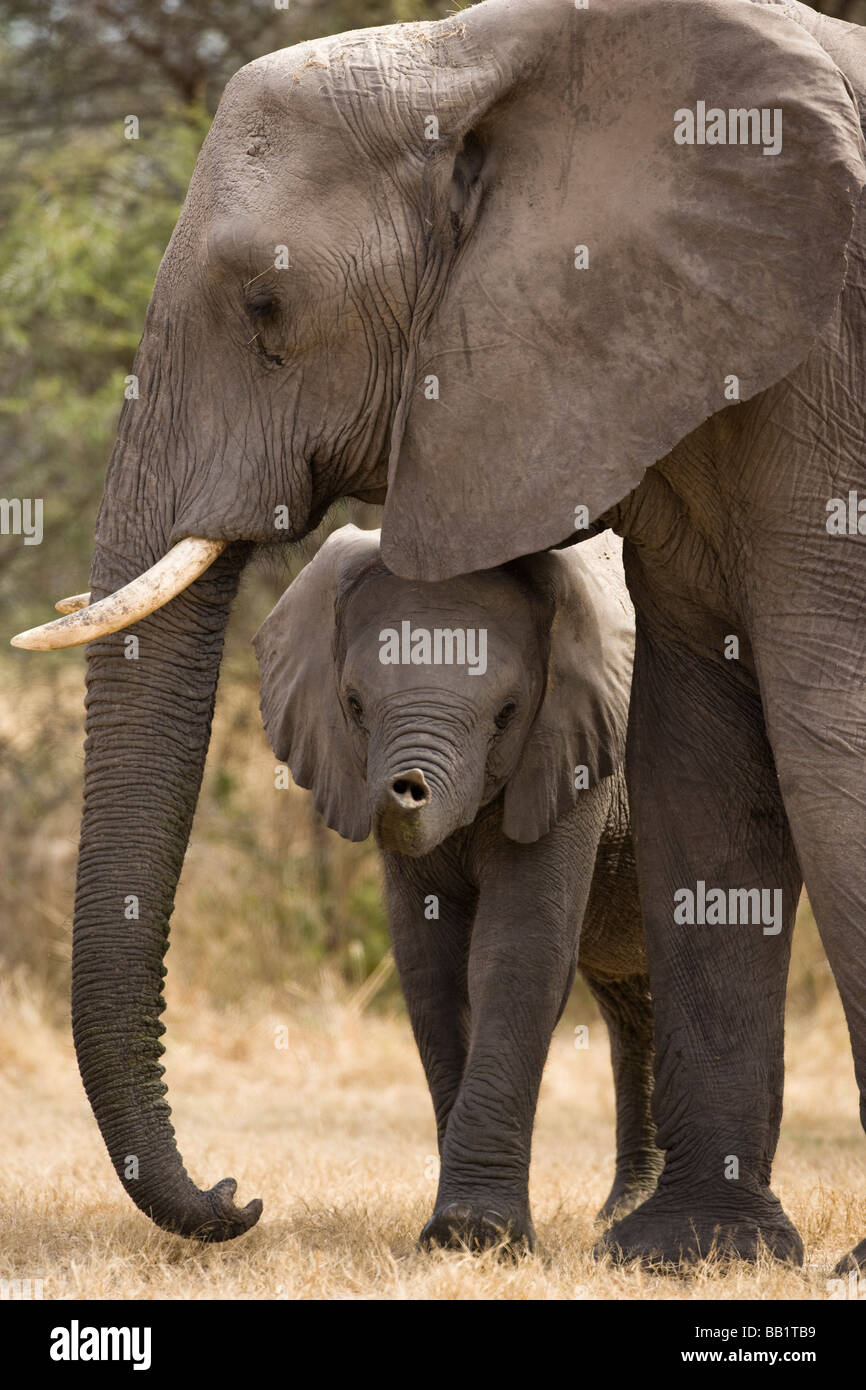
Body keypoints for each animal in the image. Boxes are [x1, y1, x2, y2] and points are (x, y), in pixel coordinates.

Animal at [253, 524, 660, 1249]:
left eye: (506, 713)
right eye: (354, 705)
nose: (404, 789)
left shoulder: (573, 752)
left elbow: (518, 946)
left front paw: (479, 1236)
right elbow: (431, 963)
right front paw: (456, 1236)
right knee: (631, 999)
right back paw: (628, 1212)